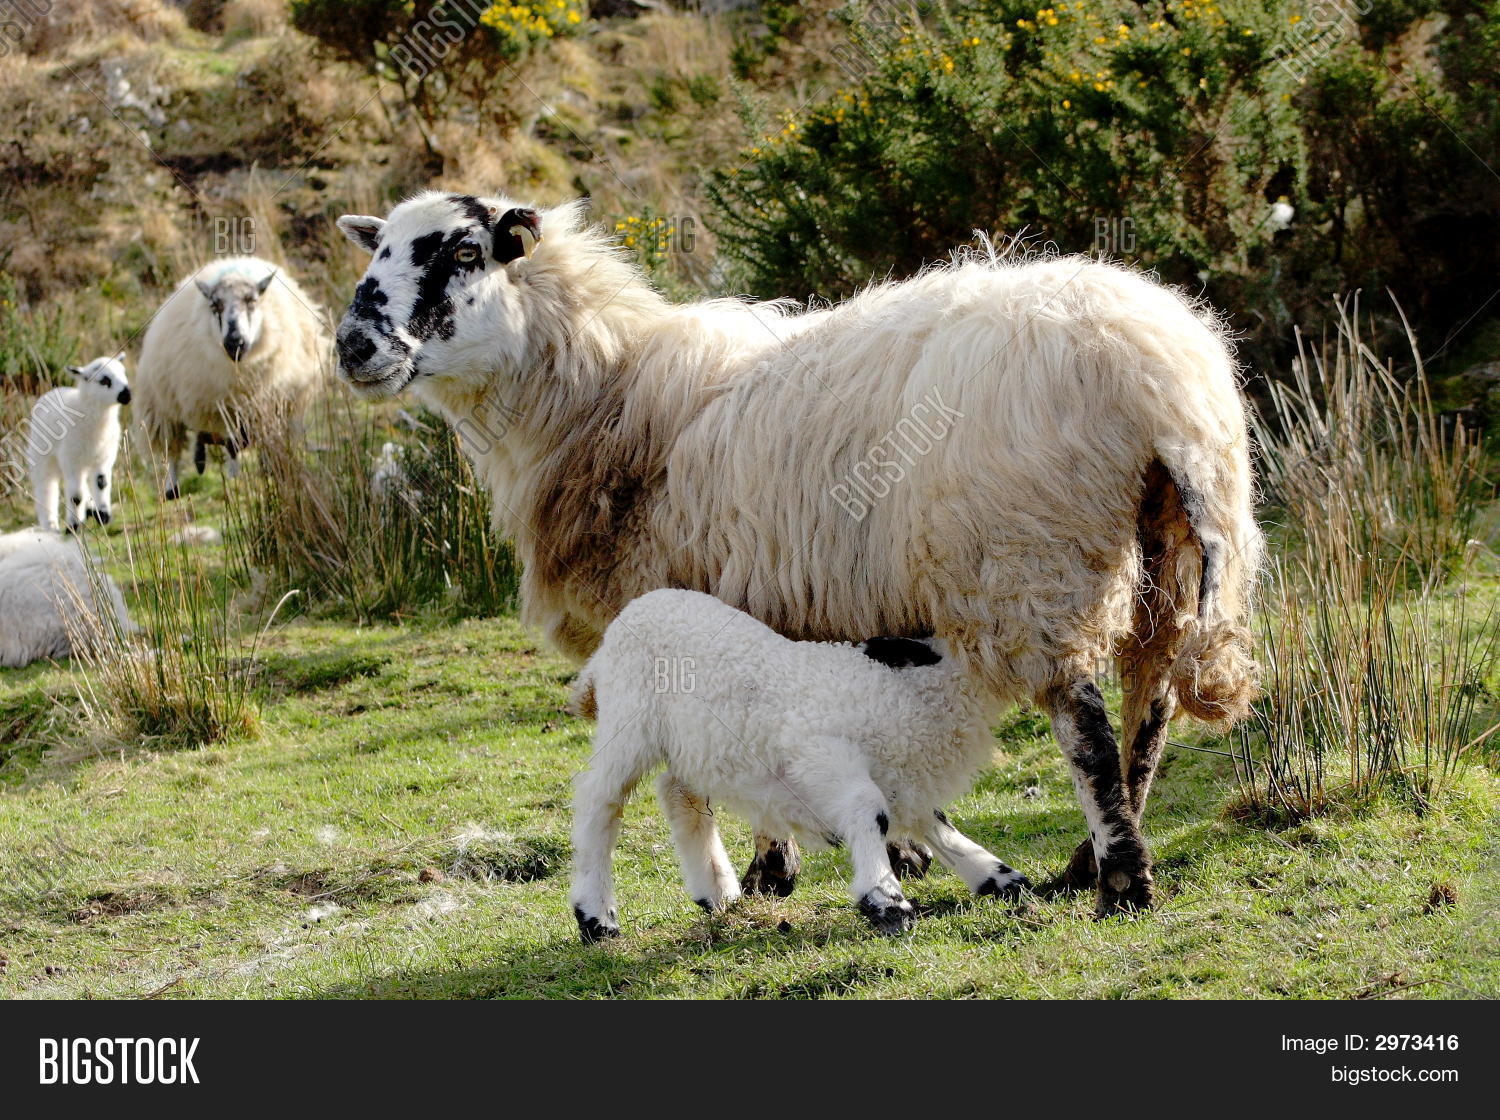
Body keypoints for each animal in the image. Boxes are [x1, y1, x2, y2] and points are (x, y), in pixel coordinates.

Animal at [27, 355, 131, 531]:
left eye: (124, 373)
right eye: (104, 380)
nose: (127, 394)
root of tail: (51, 392)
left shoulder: (103, 458)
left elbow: (102, 483)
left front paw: (103, 516)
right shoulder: (72, 461)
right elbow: (76, 496)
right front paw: (73, 526)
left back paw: (90, 510)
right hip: (43, 458)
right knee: (46, 488)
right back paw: (51, 526)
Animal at [134, 256, 329, 499]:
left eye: (252, 301)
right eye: (215, 306)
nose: (234, 342)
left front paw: (270, 471)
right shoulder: (223, 408)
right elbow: (231, 448)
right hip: (161, 409)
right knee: (171, 450)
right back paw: (173, 488)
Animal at [569, 589, 1028, 942]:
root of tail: (624, 621)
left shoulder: (903, 779)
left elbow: (935, 822)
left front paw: (996, 876)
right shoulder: (820, 753)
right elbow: (870, 810)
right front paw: (886, 900)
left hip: (695, 741)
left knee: (677, 792)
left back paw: (716, 891)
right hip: (631, 718)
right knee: (599, 801)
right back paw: (596, 917)